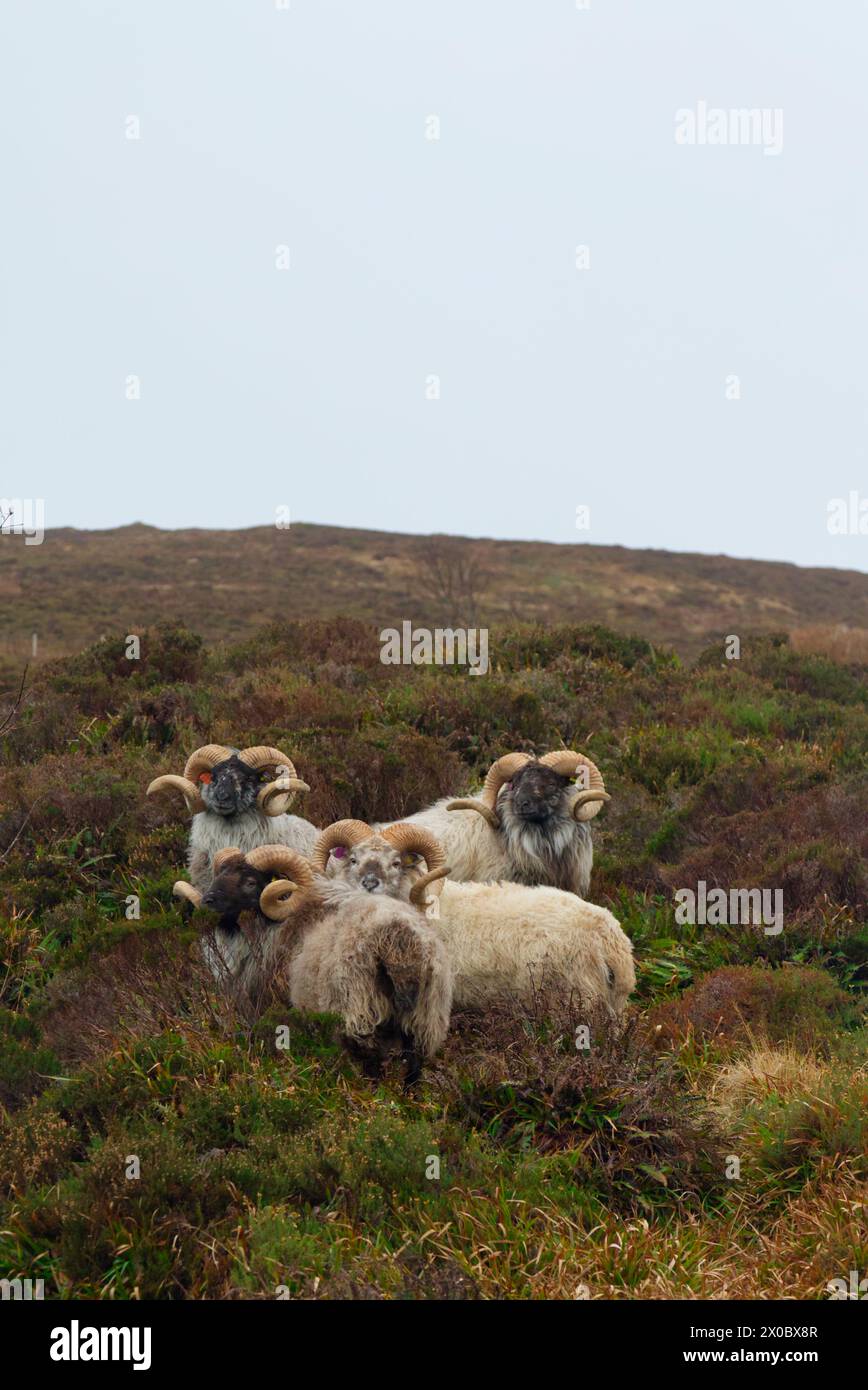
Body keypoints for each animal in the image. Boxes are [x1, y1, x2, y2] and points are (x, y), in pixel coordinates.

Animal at [181, 841, 453, 1085]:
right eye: (219, 875)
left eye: (250, 882)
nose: (205, 903)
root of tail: (398, 940)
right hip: (425, 1020)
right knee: (413, 1067)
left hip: (360, 1014)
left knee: (372, 1066)